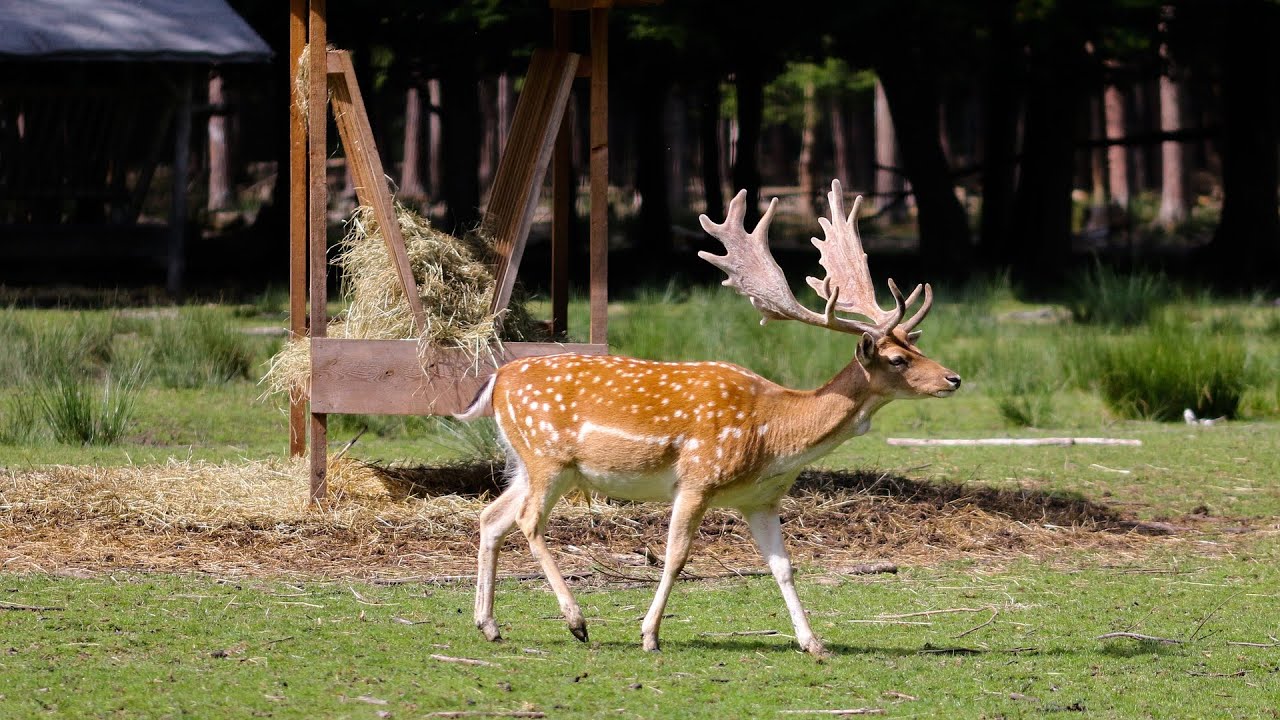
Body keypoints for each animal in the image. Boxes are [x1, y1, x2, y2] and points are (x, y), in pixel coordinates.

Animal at [455, 179, 961, 656]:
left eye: (915, 346)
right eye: (897, 359)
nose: (953, 378)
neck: (773, 436)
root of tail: (497, 378)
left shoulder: (761, 500)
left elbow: (784, 566)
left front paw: (813, 642)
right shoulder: (697, 478)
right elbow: (676, 556)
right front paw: (649, 635)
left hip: (528, 462)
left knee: (491, 517)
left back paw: (489, 625)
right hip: (548, 457)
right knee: (528, 521)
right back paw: (576, 621)